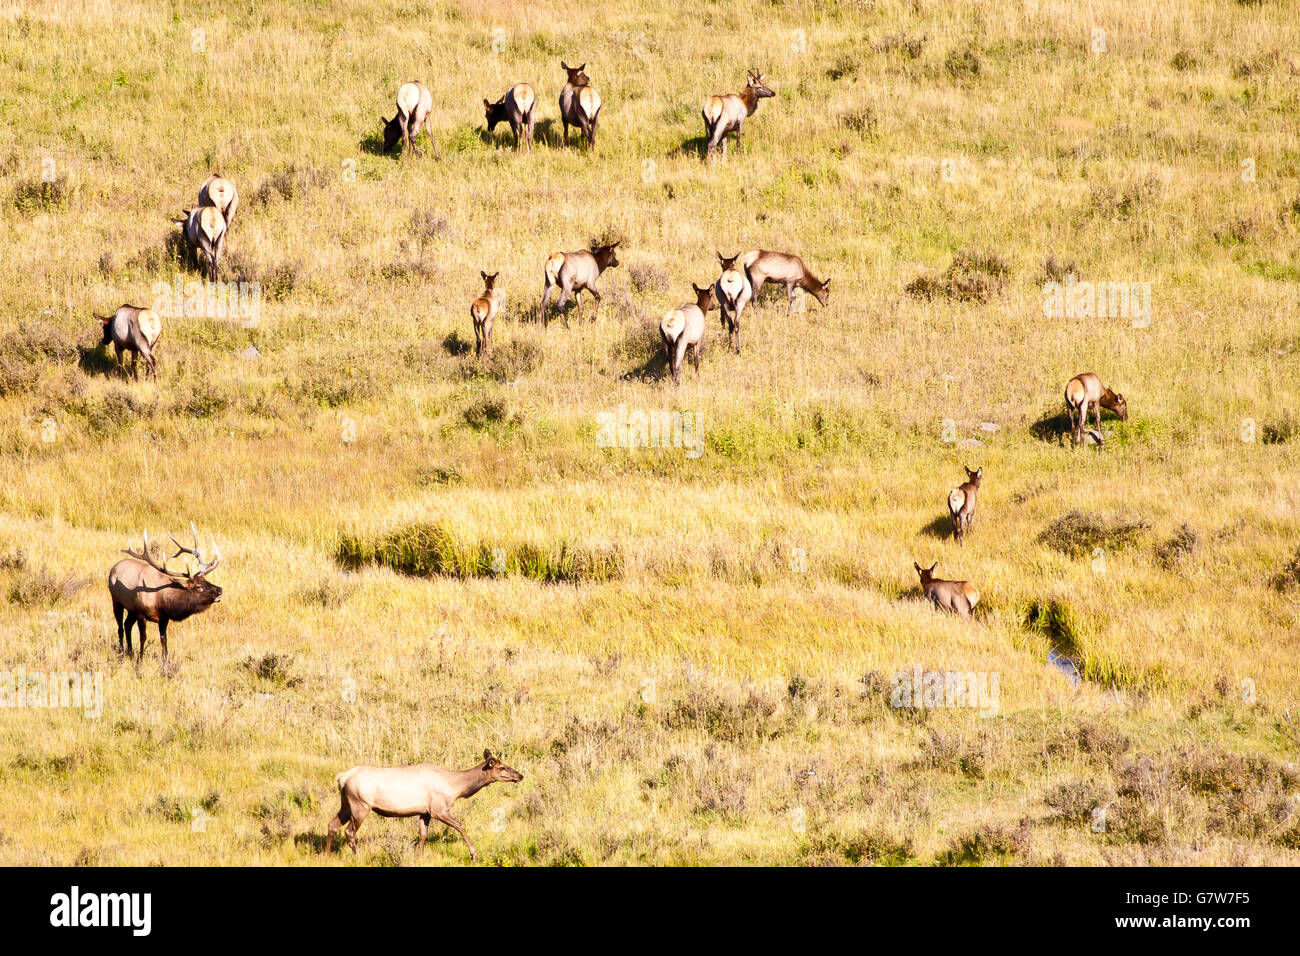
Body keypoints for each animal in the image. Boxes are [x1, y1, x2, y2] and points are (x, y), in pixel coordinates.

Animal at [107, 524, 222, 662]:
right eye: (199, 586)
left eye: (206, 580)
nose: (220, 589)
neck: (161, 601)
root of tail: (114, 567)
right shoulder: (141, 612)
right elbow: (143, 637)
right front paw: (140, 660)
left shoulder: (164, 617)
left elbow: (164, 639)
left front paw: (165, 661)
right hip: (116, 601)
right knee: (120, 627)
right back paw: (122, 654)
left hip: (131, 609)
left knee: (127, 624)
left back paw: (130, 651)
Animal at [327, 750, 524, 860]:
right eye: (502, 767)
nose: (520, 775)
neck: (456, 788)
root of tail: (341, 778)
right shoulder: (439, 809)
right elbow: (460, 826)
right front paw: (474, 854)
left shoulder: (425, 812)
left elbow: (422, 835)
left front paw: (420, 856)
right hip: (360, 805)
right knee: (349, 831)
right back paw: (358, 856)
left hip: (346, 804)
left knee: (332, 824)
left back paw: (327, 854)